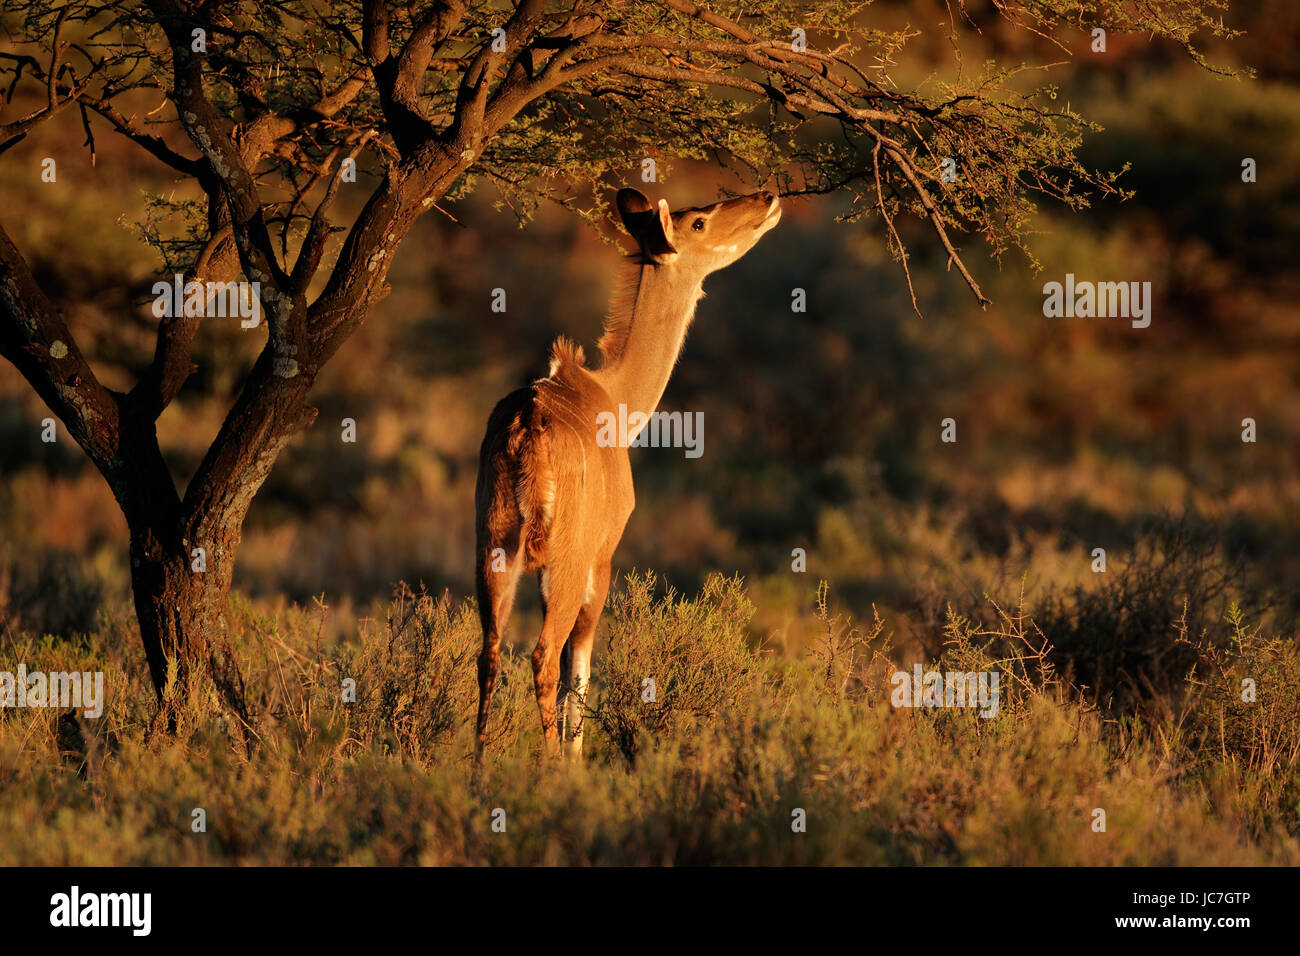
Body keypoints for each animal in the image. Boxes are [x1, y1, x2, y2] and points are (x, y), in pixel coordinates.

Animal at [473, 186, 782, 759]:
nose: (769, 197)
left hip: (493, 551)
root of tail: (528, 427)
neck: (611, 397)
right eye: (698, 221)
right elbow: (579, 668)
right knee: (544, 658)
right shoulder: (603, 560)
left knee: (490, 654)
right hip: (565, 565)